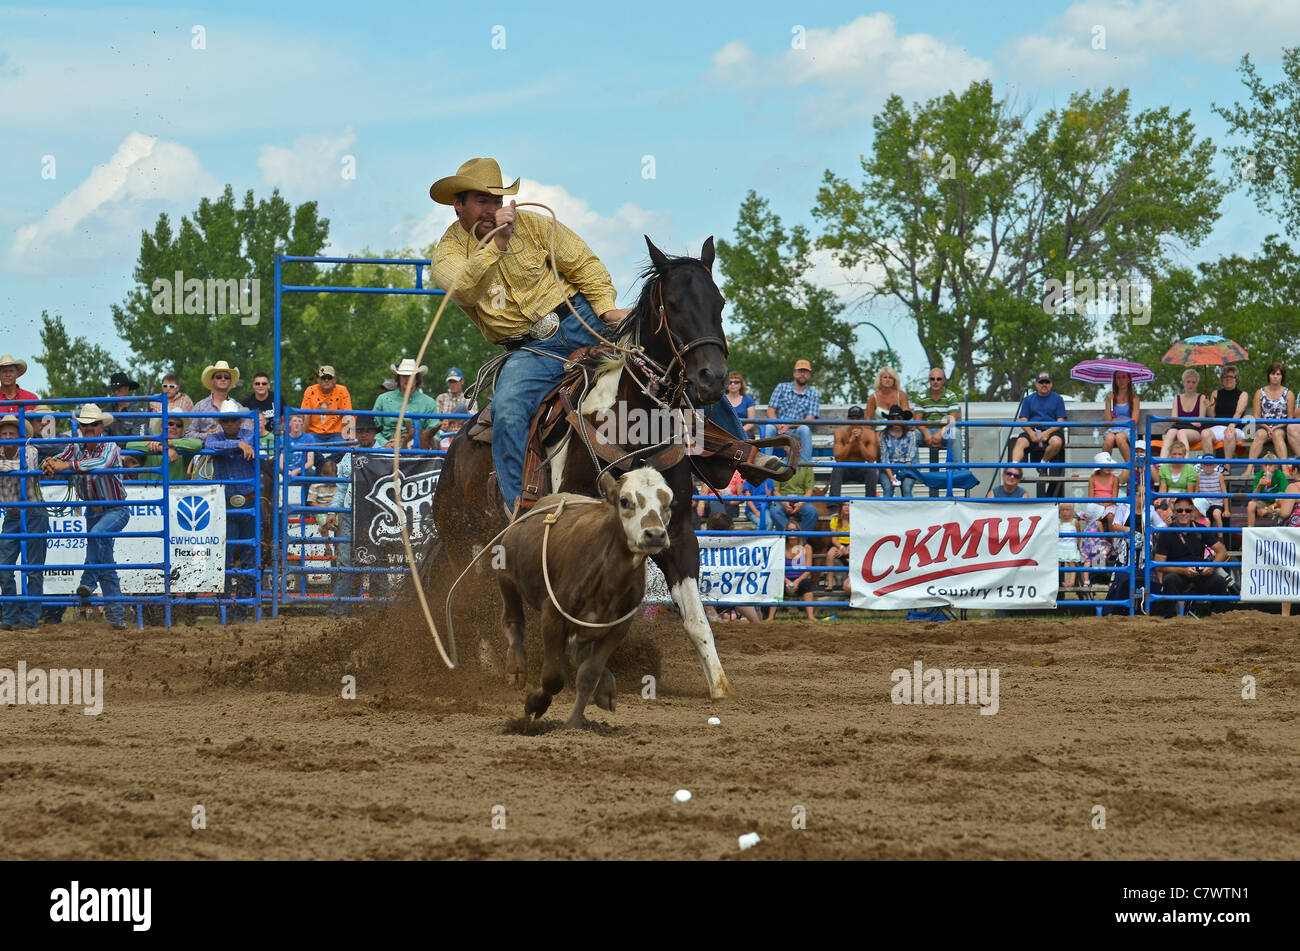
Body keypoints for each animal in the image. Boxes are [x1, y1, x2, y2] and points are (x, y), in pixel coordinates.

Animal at [496, 467, 672, 729]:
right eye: (625, 501)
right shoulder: (552, 615)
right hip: (506, 575)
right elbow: (553, 677)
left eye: (668, 503)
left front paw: (575, 722)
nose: (655, 534)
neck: (608, 577)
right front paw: (535, 704)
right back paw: (516, 667)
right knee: (513, 620)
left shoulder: (618, 629)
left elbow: (589, 673)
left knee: (579, 653)